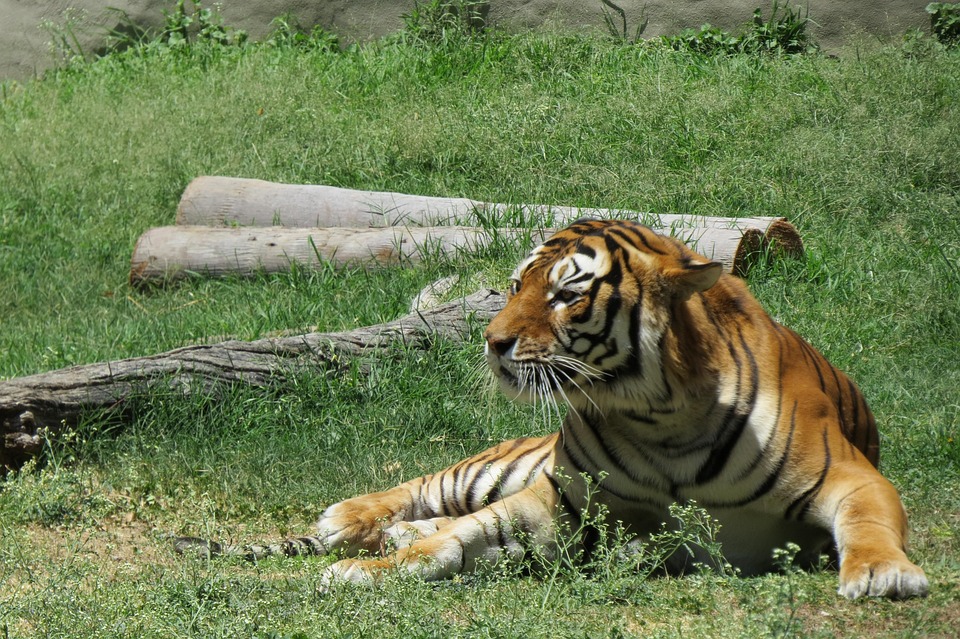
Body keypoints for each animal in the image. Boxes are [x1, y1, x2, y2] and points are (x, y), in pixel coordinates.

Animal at [176, 218, 928, 599]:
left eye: (568, 294)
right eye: (515, 285)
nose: (492, 341)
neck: (661, 419)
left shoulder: (851, 477)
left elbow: (868, 522)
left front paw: (880, 574)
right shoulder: (559, 500)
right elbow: (461, 535)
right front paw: (365, 570)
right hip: (492, 467)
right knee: (424, 488)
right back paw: (355, 521)